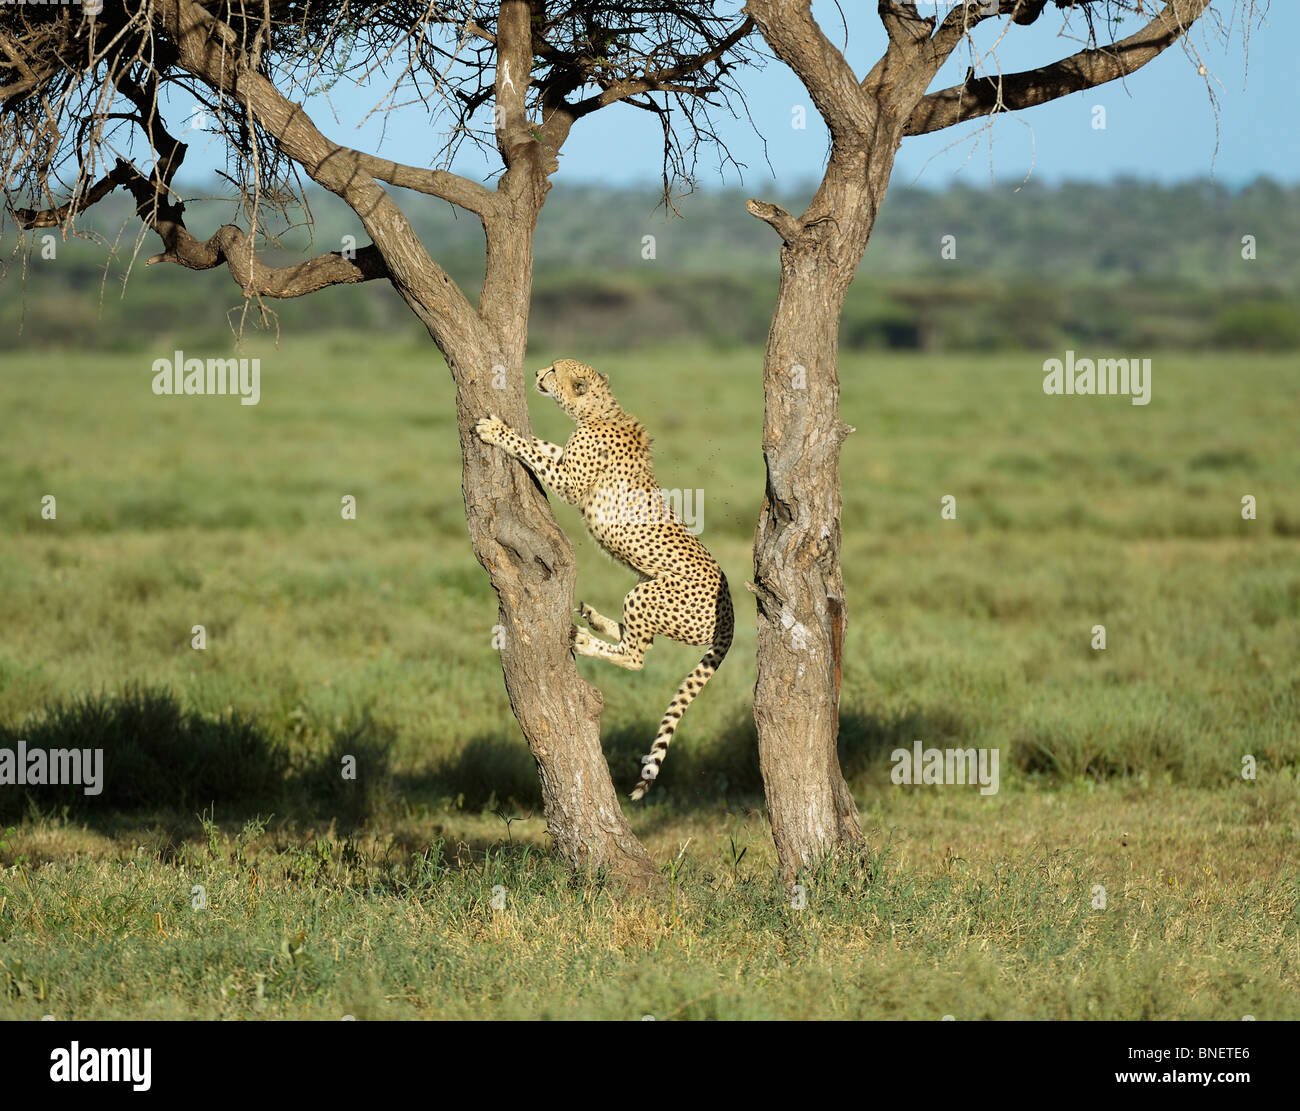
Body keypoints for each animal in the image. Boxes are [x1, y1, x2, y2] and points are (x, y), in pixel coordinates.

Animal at [474, 358, 733, 800]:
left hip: (650, 594)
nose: (538, 372)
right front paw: (509, 426)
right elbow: (543, 445)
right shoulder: (565, 456)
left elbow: (532, 451)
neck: (599, 410)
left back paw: (583, 639)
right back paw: (593, 621)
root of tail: (732, 608)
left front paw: (496, 431)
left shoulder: (571, 482)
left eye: (555, 370)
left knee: (636, 656)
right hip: (645, 593)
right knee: (639, 638)